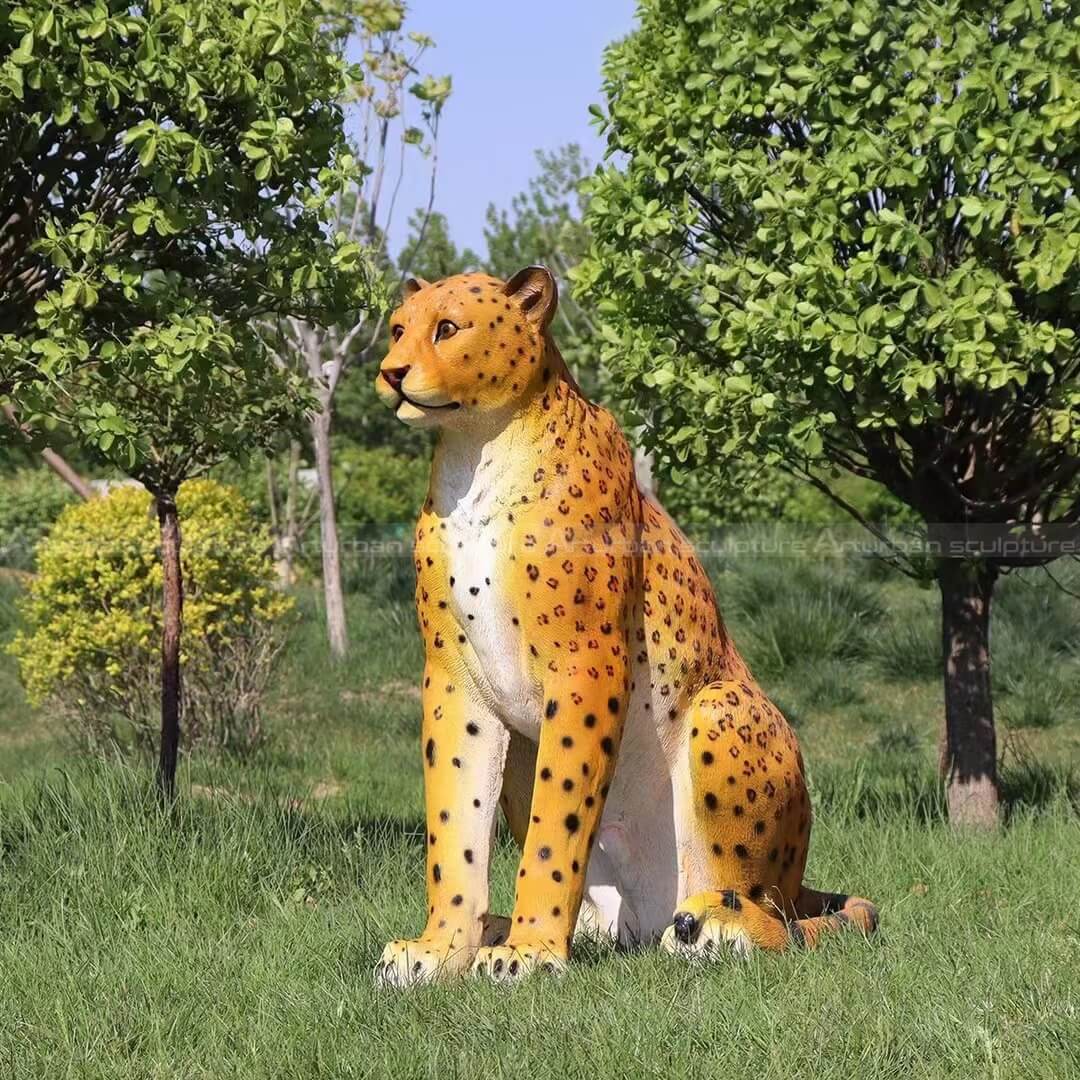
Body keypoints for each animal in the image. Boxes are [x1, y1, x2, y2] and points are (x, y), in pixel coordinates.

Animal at [372, 266, 877, 986]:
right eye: (397, 328)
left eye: (447, 327)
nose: (391, 373)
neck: (479, 448)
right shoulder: (454, 680)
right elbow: (454, 828)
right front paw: (440, 949)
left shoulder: (586, 664)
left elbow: (555, 828)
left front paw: (527, 952)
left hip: (721, 710)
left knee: (779, 920)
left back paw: (713, 925)